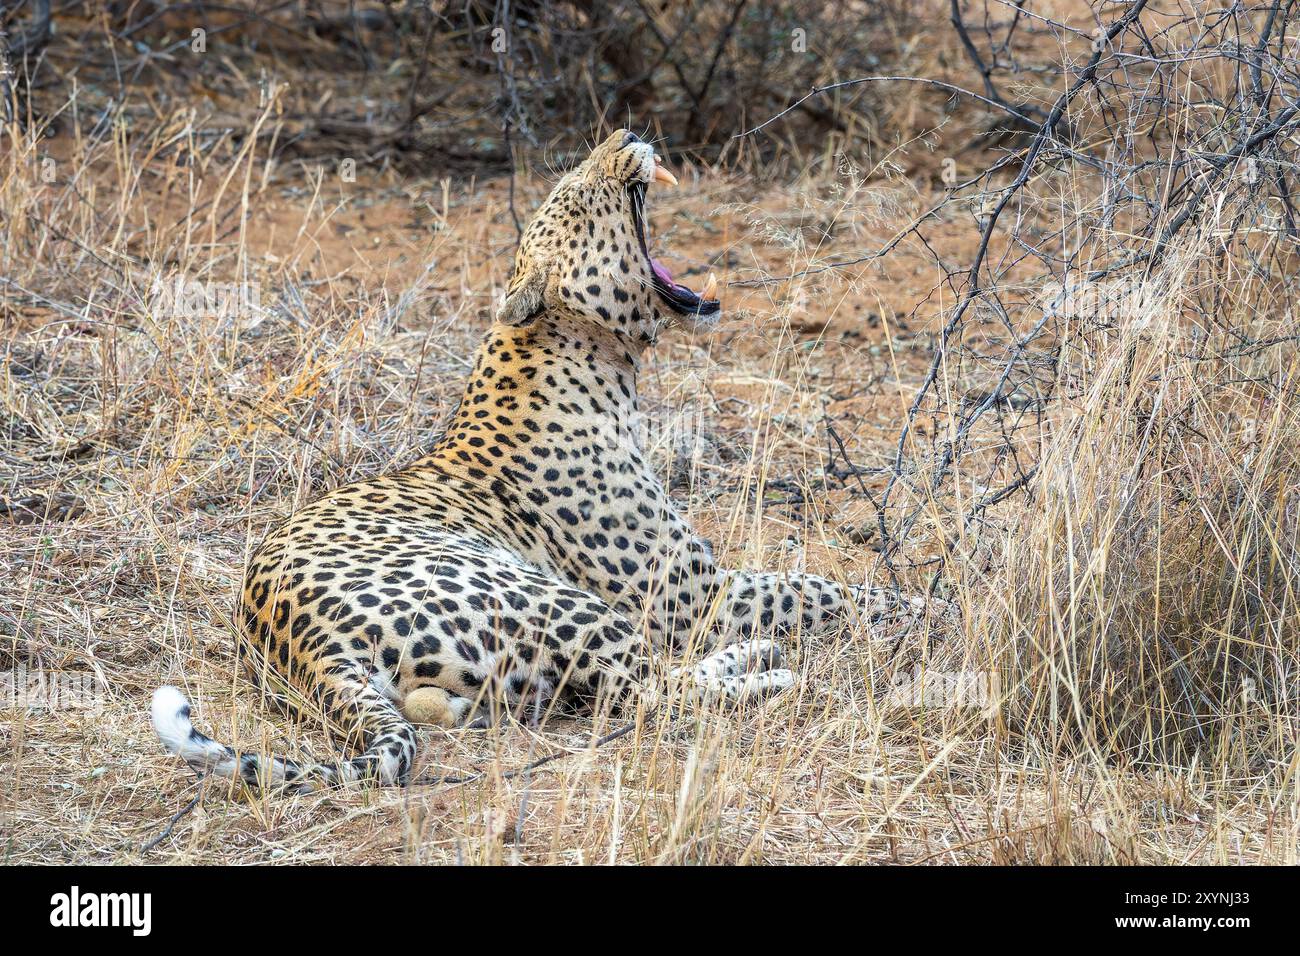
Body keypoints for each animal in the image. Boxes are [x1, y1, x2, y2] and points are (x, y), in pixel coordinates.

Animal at [151, 129, 902, 794]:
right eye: (576, 194)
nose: (626, 132)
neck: (595, 363)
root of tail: (303, 644)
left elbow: (815, 584)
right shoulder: (696, 595)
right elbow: (823, 588)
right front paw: (914, 603)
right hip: (556, 599)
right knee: (648, 693)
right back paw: (772, 669)